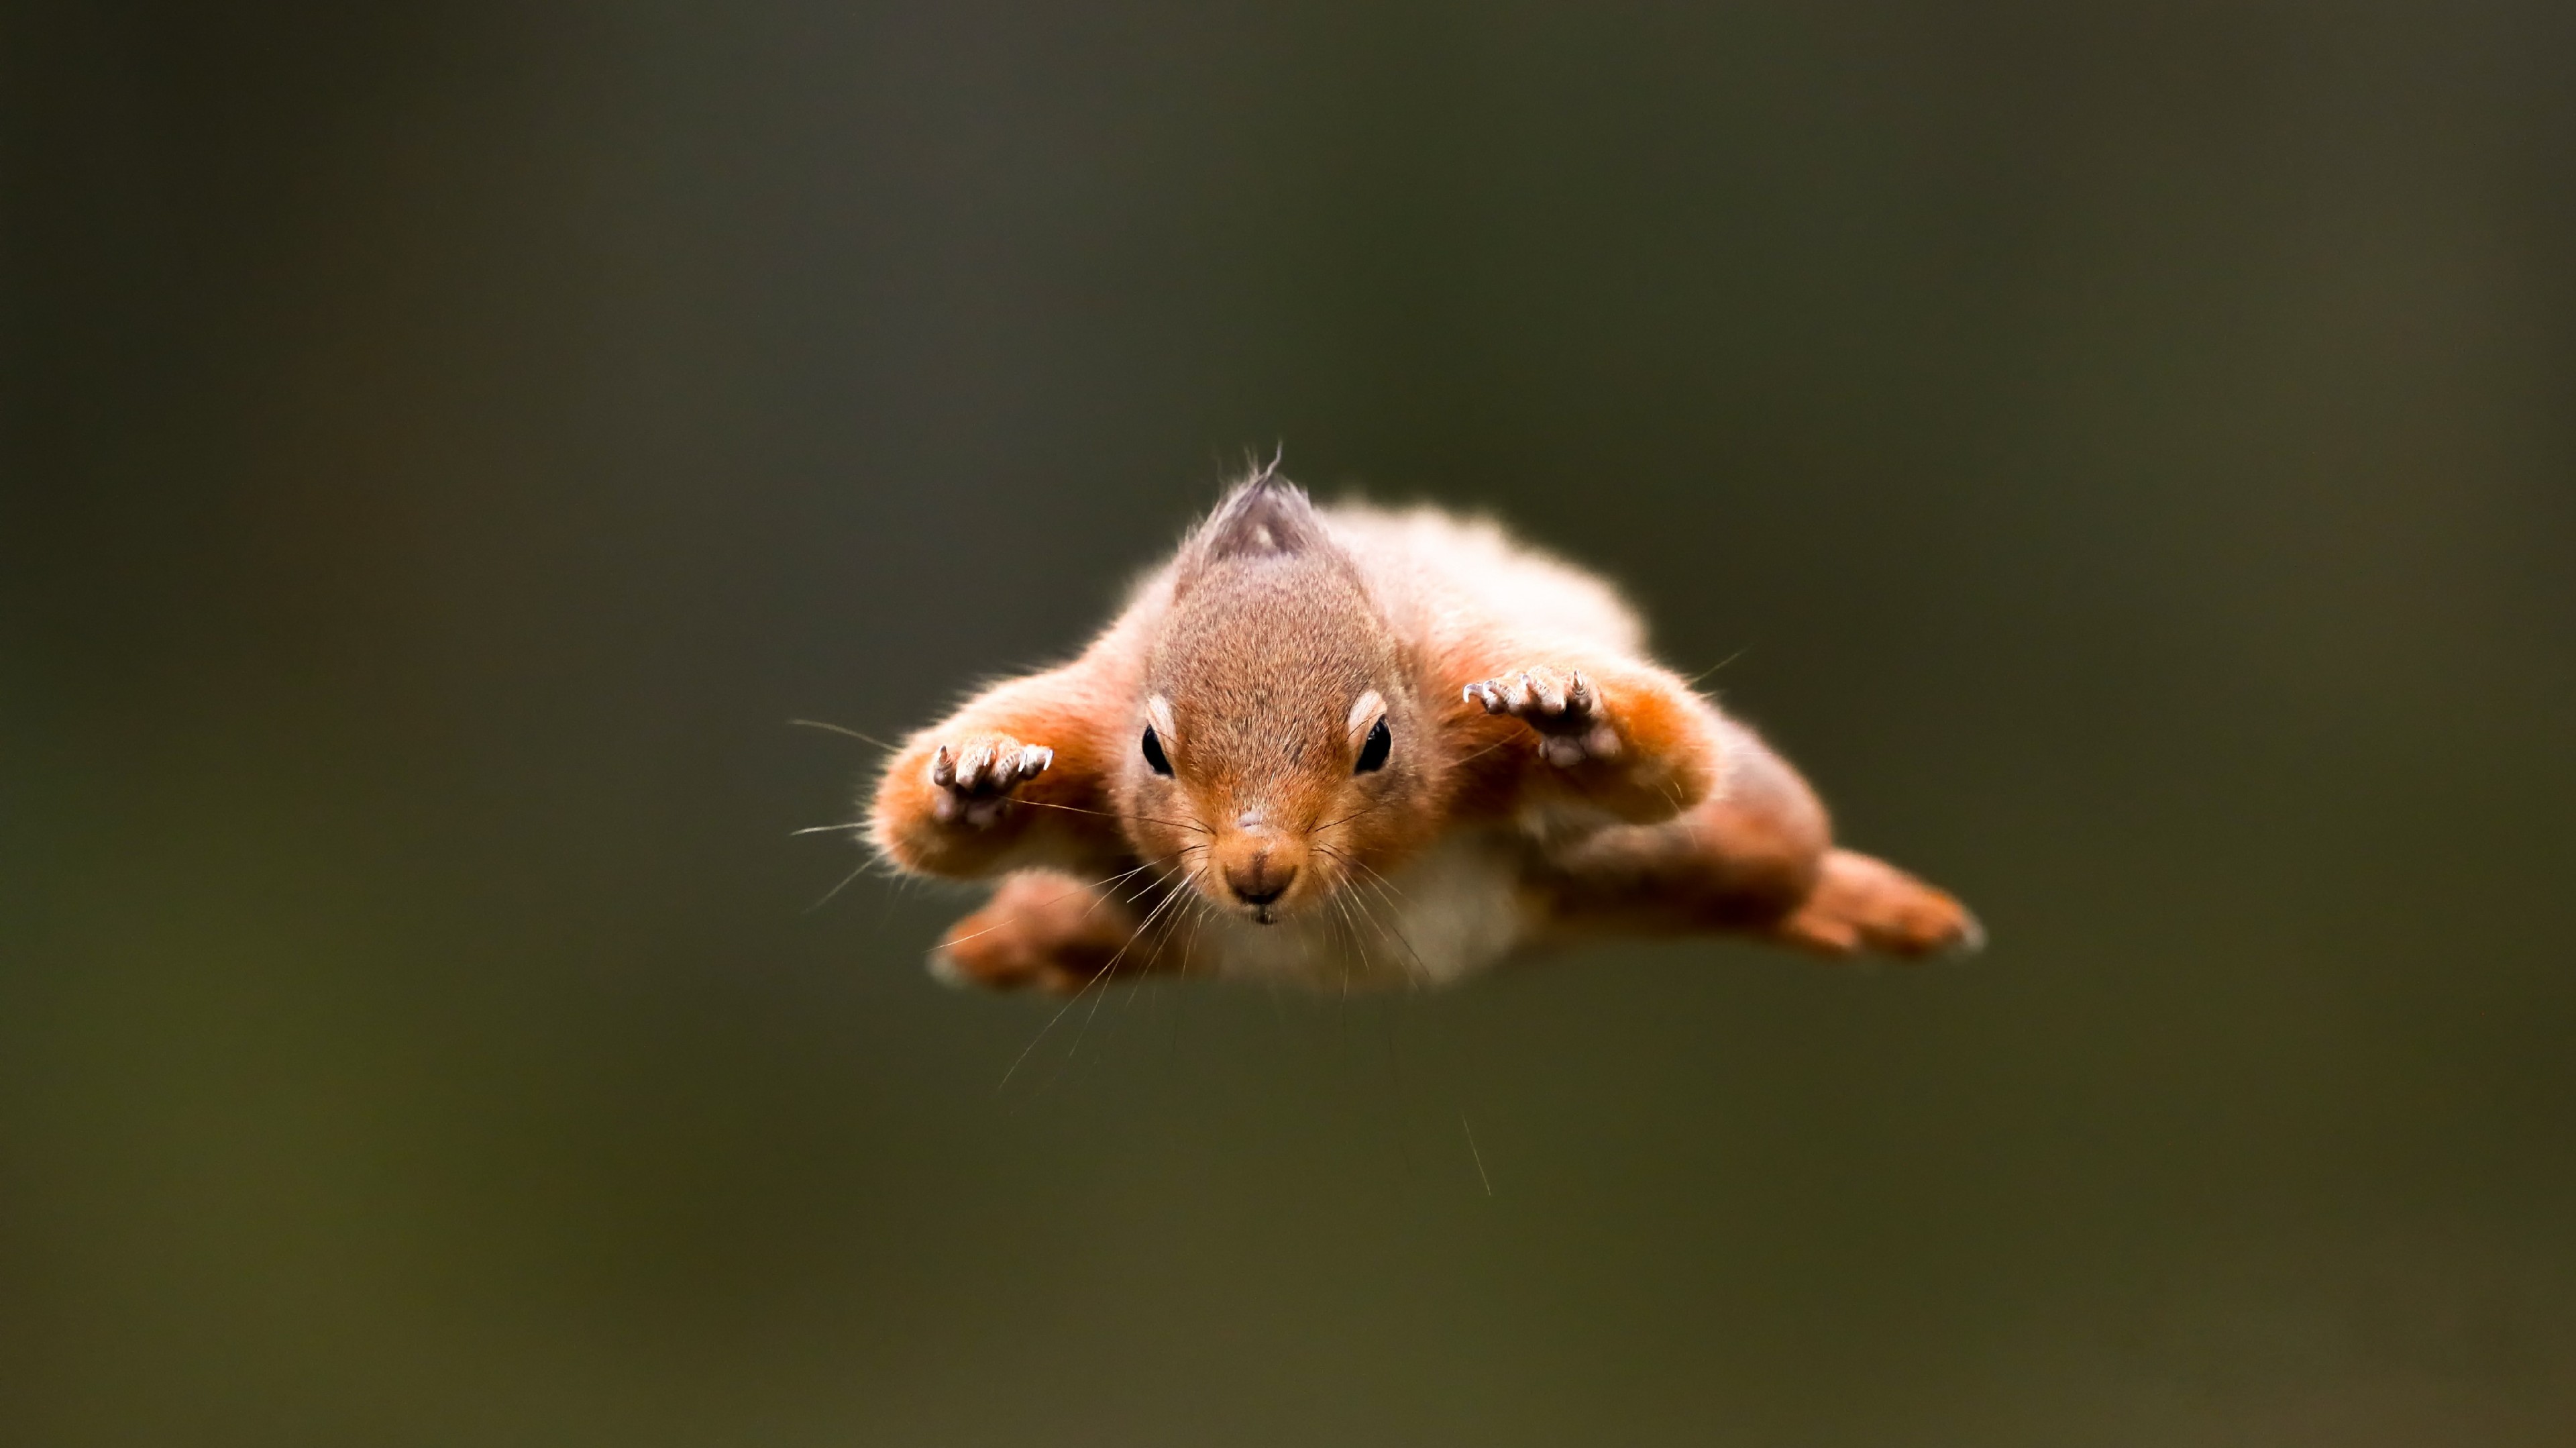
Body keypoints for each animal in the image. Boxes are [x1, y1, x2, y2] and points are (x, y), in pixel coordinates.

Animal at [866, 464, 1981, 993]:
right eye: (1151, 750)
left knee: (1774, 865)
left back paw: (1868, 910)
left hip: (1706, 850)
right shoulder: (1085, 720)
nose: (1258, 871)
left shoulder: (1464, 676)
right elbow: (911, 828)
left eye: (1378, 746)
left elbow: (1672, 759)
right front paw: (975, 779)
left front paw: (1570, 714)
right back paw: (1006, 946)